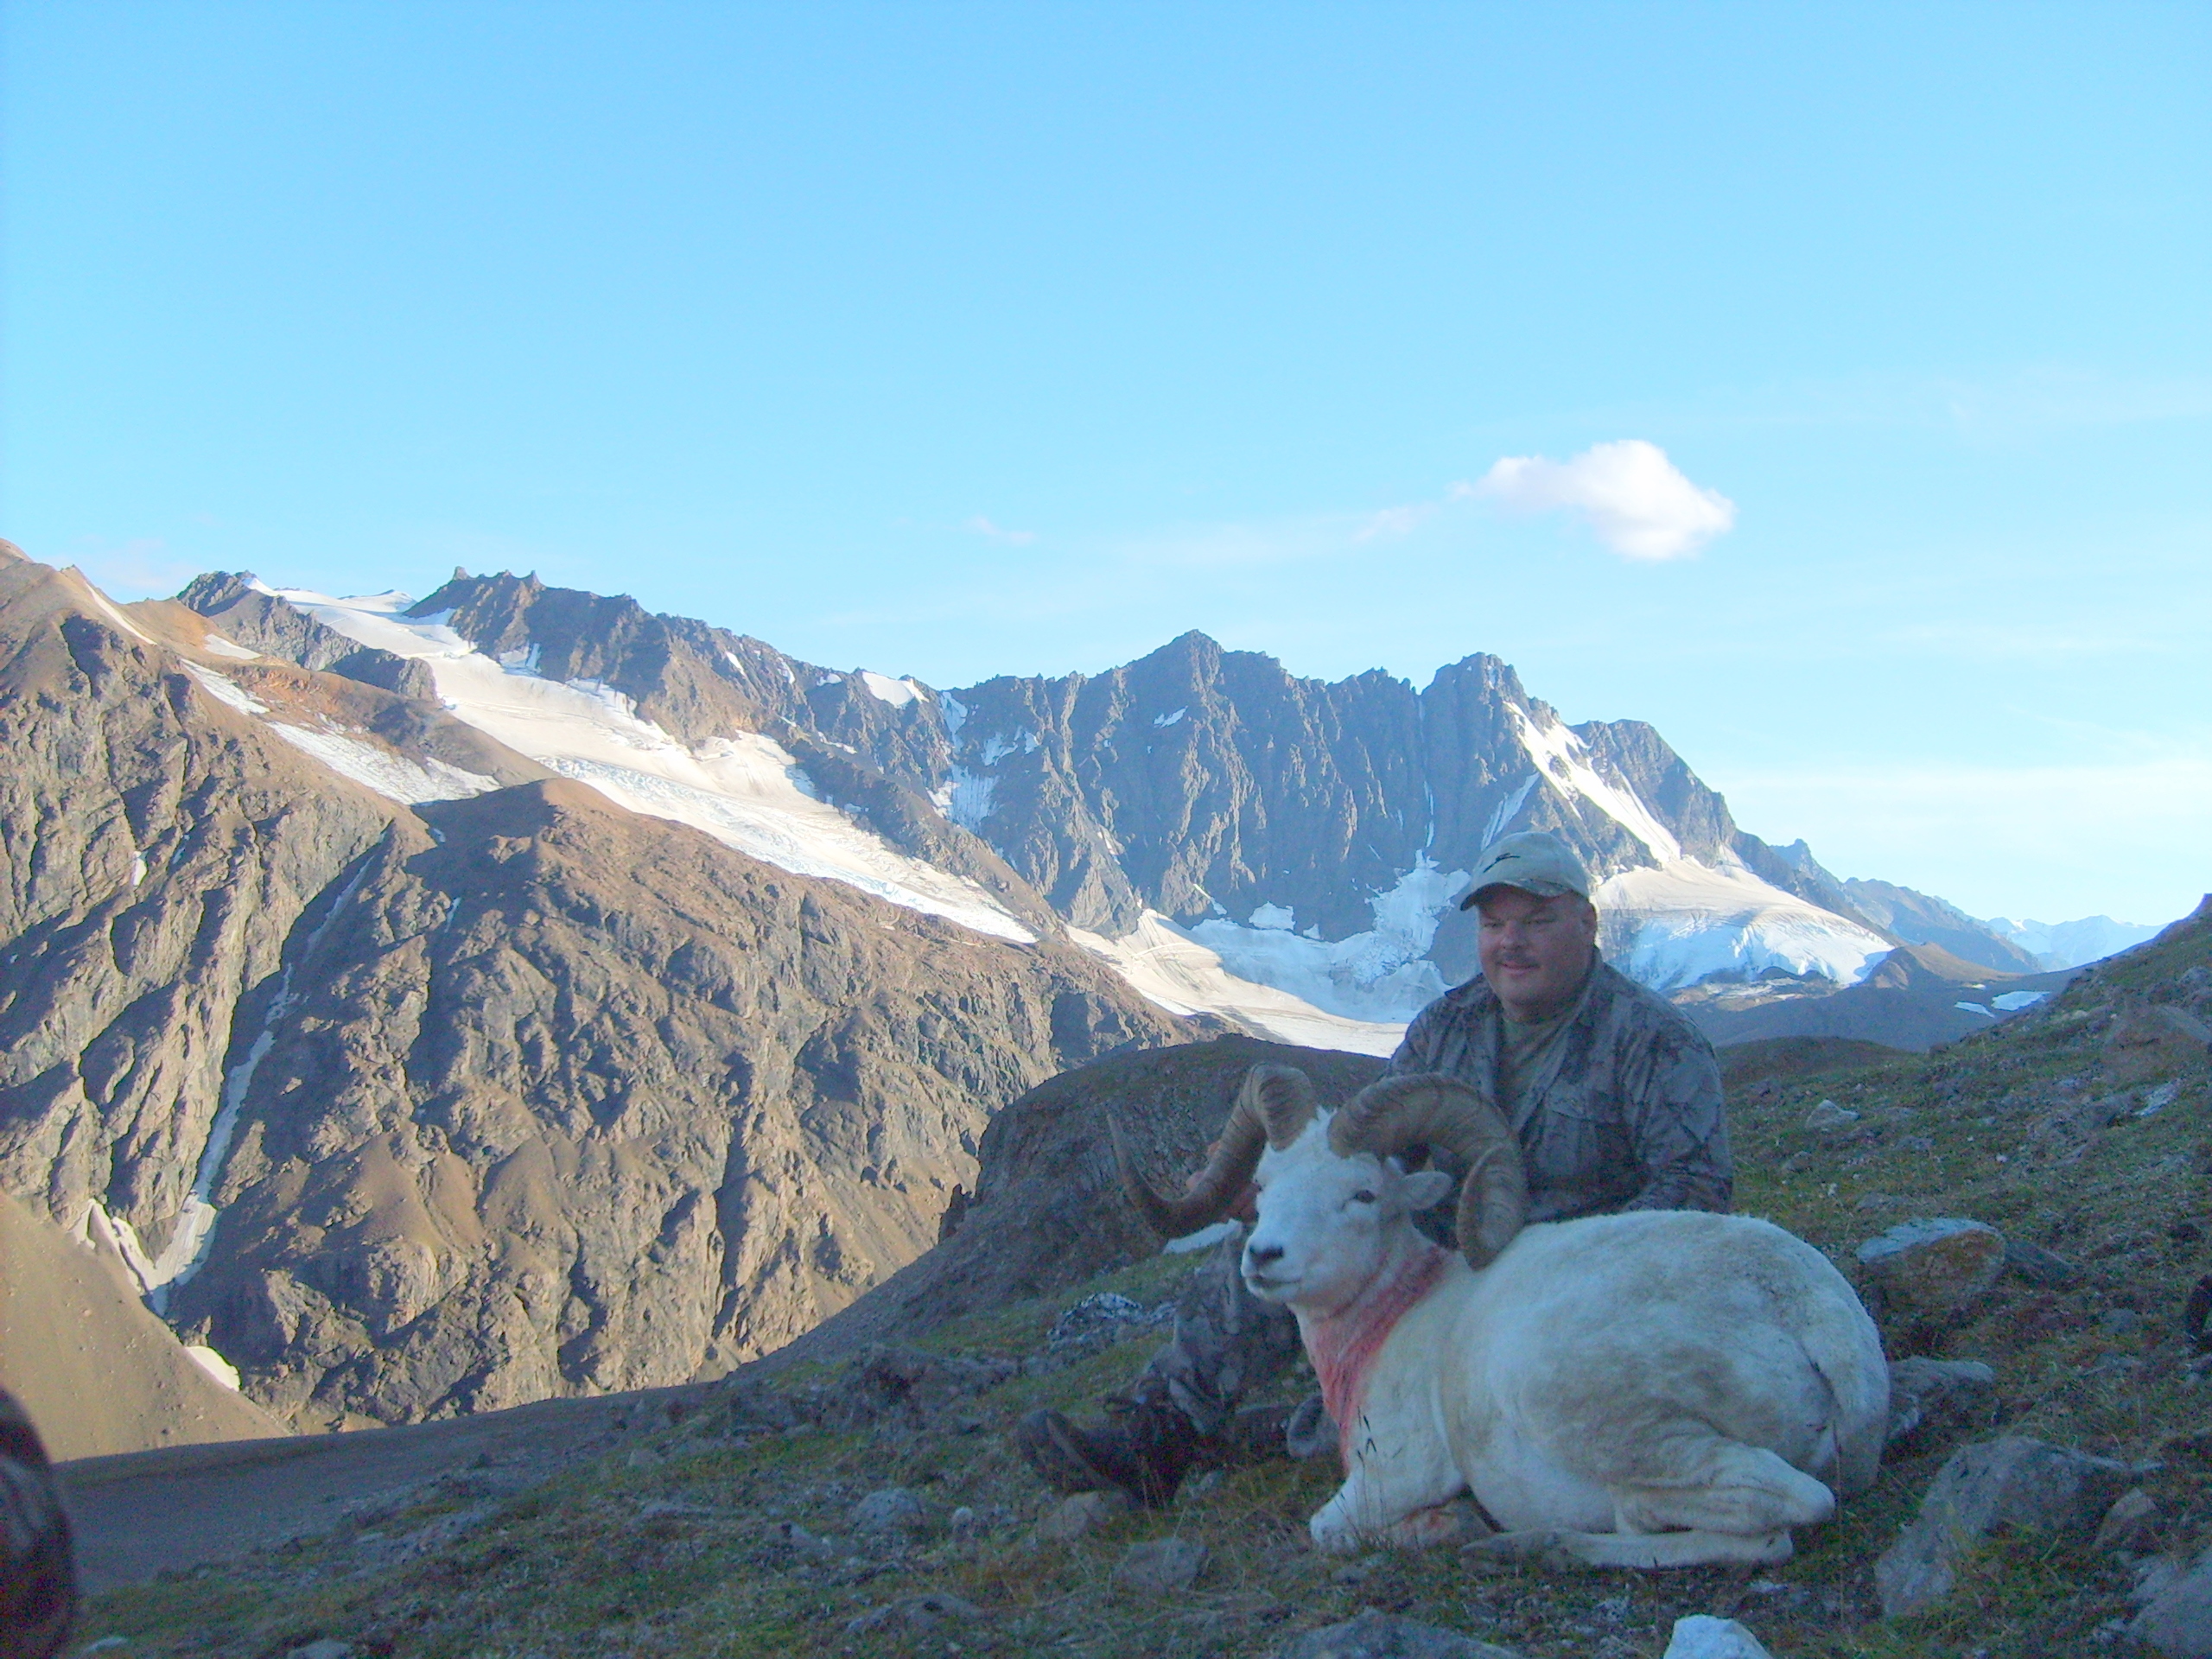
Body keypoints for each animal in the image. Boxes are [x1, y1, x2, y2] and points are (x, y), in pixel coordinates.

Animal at [1115, 1065, 1889, 1567]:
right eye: (1264, 1184)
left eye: (1362, 1194)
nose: (1264, 1257)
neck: (1397, 1318)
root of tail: (1808, 1310)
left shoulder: (1390, 1478)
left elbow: (1327, 1529)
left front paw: (1453, 1524)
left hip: (1609, 1422)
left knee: (1783, 1515)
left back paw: (1540, 1540)